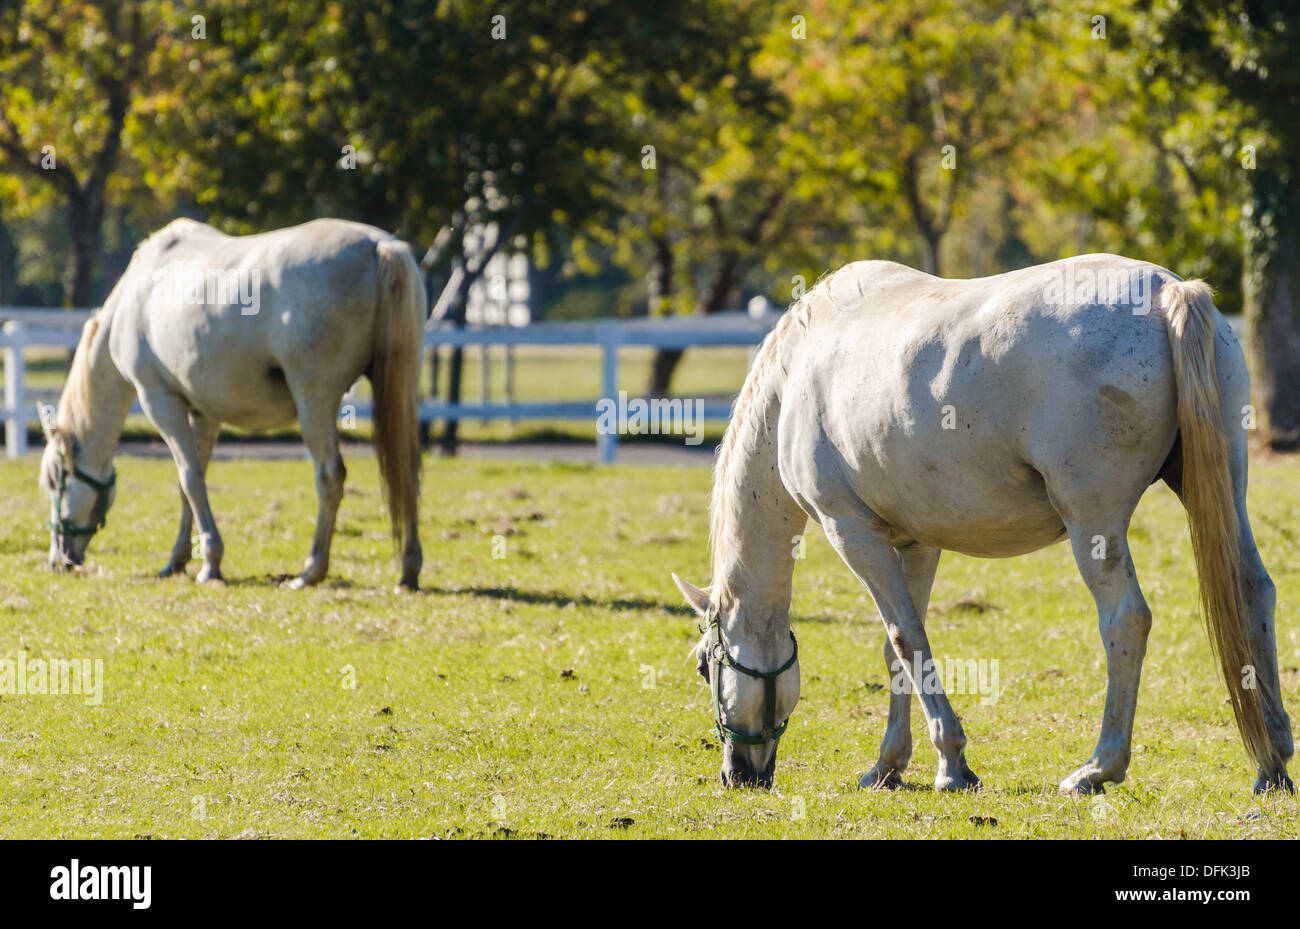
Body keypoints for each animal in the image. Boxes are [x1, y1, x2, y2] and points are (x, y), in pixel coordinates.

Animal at [38, 217, 426, 591]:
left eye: (54, 480)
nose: (58, 561)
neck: (136, 296)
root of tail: (380, 246)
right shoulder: (205, 415)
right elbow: (191, 483)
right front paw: (178, 560)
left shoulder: (159, 401)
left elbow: (190, 478)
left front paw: (210, 565)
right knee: (406, 471)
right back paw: (408, 571)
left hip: (315, 403)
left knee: (330, 475)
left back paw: (311, 571)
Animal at [673, 254, 1293, 795]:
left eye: (704, 667)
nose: (737, 775)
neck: (798, 371)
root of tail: (1168, 291)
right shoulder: (913, 543)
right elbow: (900, 648)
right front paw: (888, 766)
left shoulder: (852, 532)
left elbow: (905, 639)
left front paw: (952, 765)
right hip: (1221, 489)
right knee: (1254, 591)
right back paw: (1273, 762)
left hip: (1093, 520)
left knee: (1126, 620)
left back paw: (1099, 769)